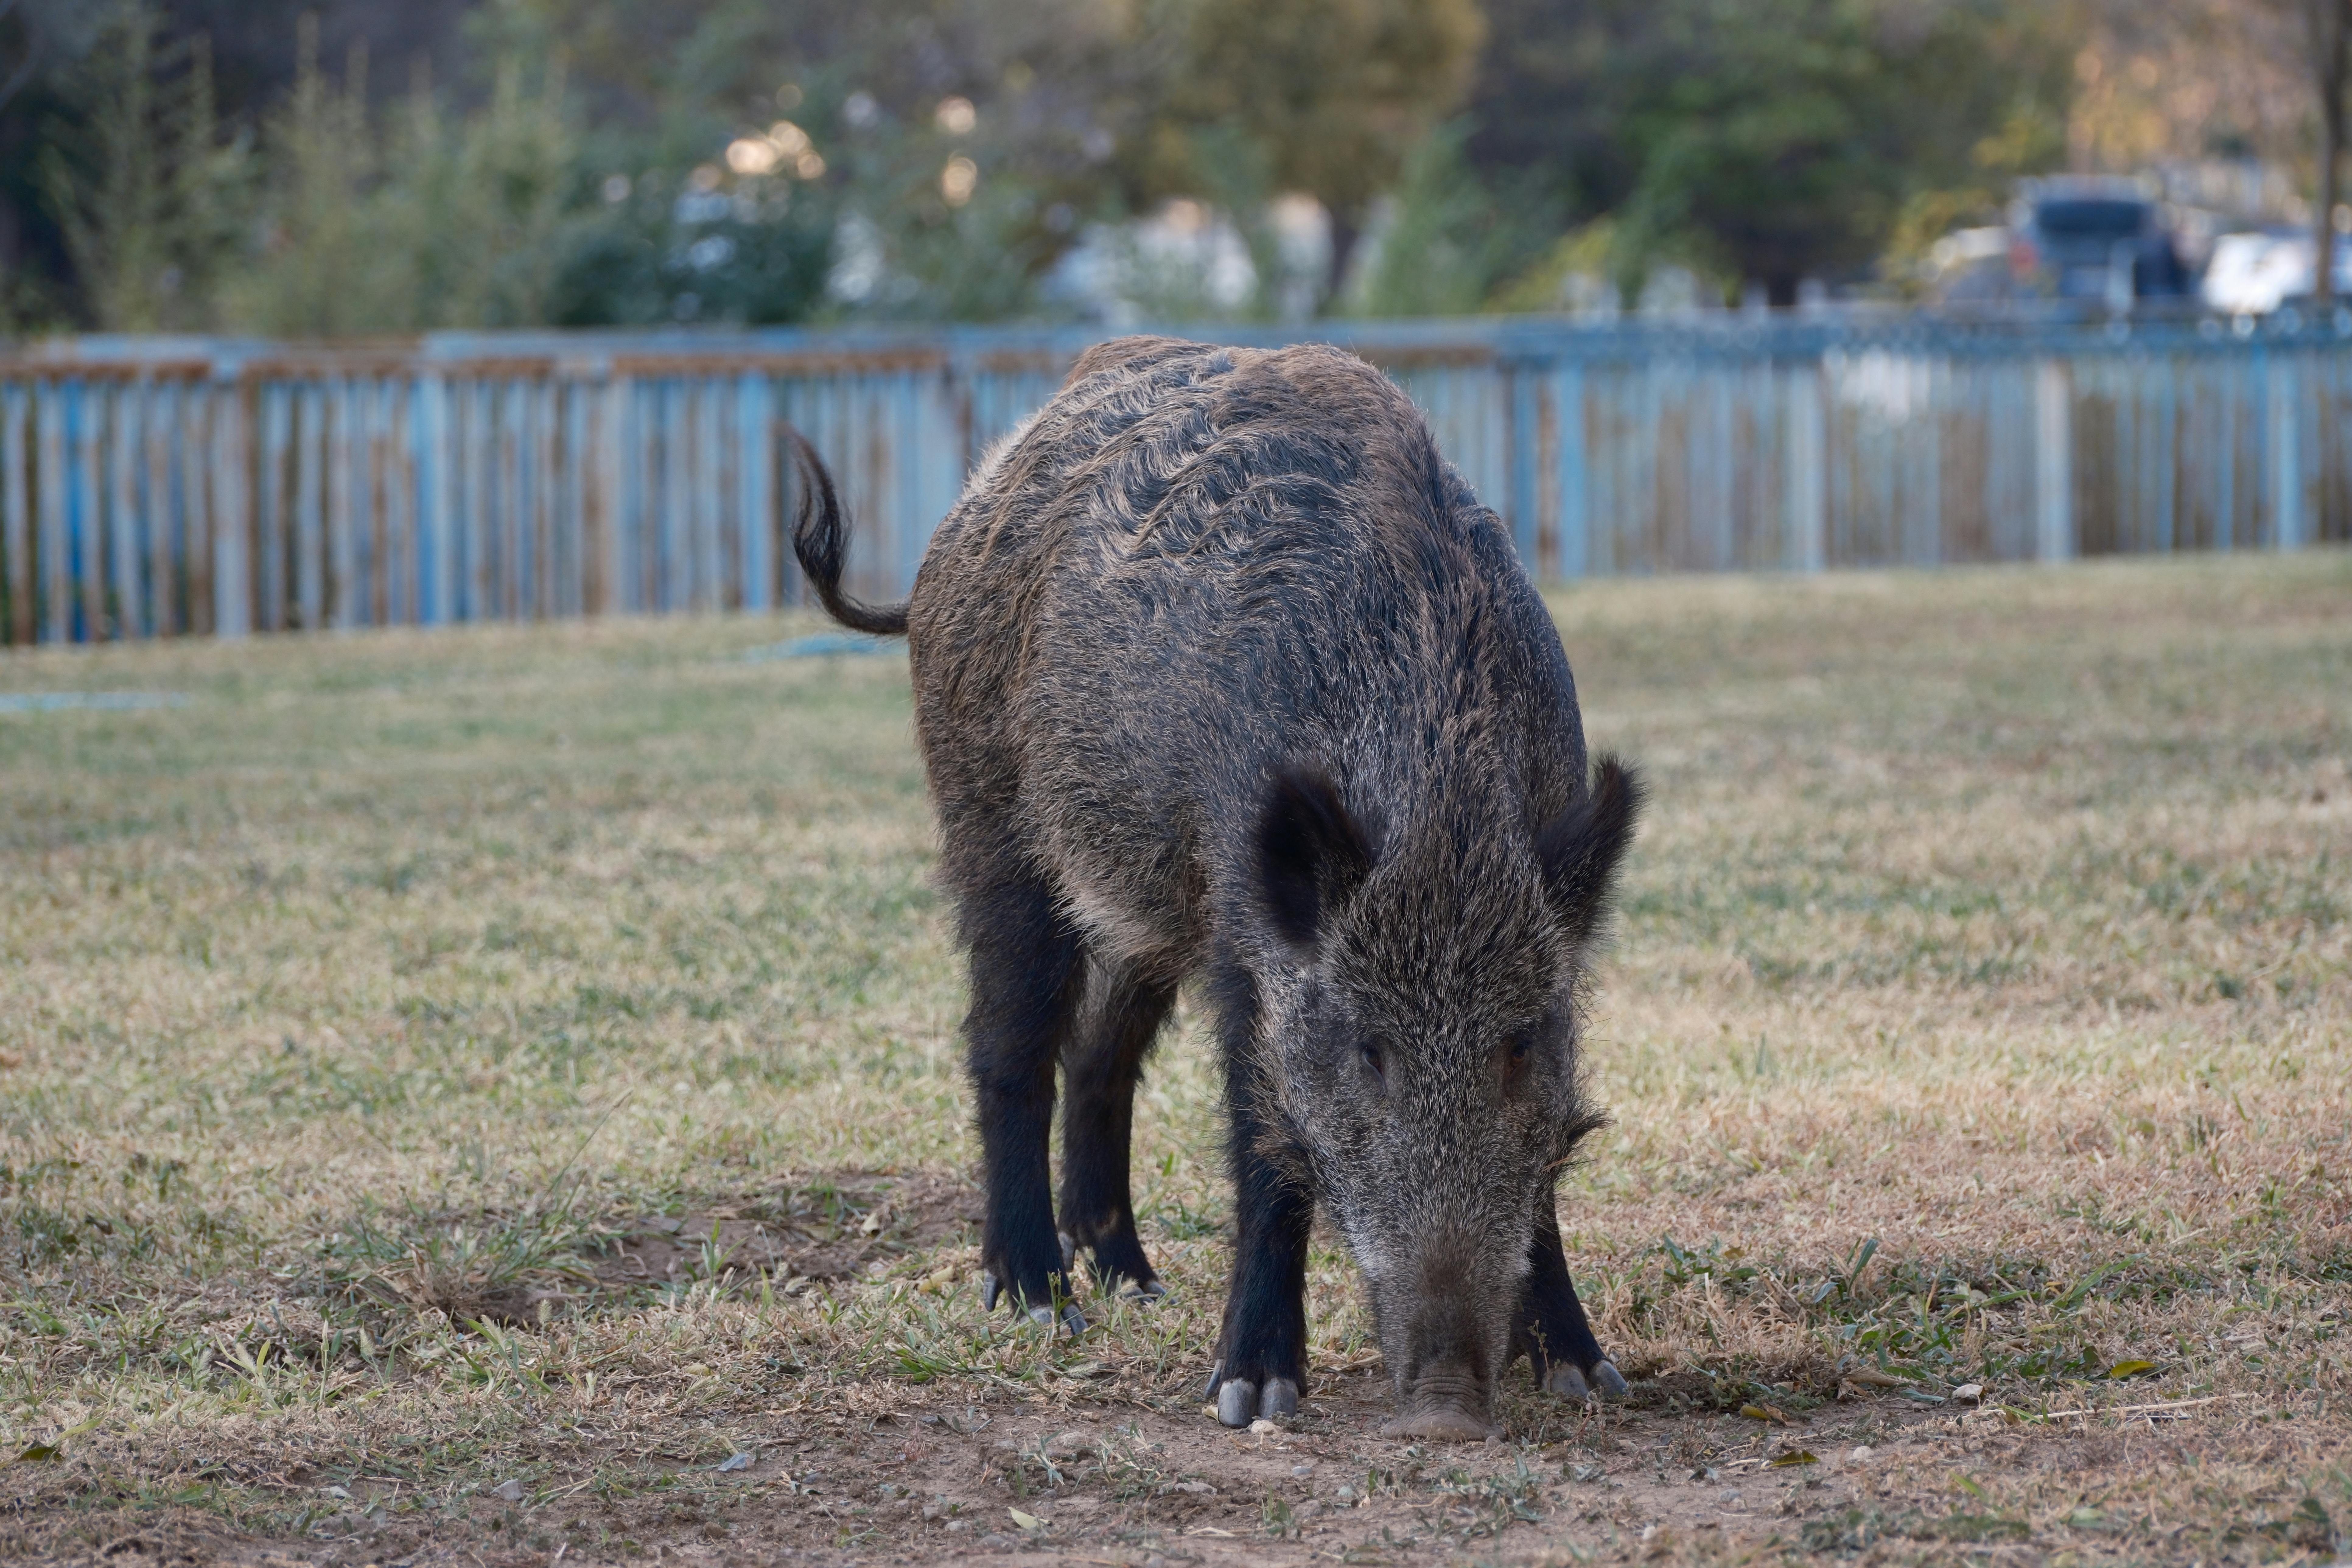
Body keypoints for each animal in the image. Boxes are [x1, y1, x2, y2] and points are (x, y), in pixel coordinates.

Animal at [790, 335, 1640, 1439]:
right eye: (1367, 1051)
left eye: (1520, 1045)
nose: (1448, 1404)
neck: (1437, 818)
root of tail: (965, 514)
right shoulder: (1246, 938)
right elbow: (1264, 1143)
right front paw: (1249, 1396)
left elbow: (1541, 1176)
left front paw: (1587, 1374)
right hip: (992, 827)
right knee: (1008, 1050)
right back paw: (1038, 1301)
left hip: (1146, 913)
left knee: (1099, 1061)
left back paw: (1135, 1283)